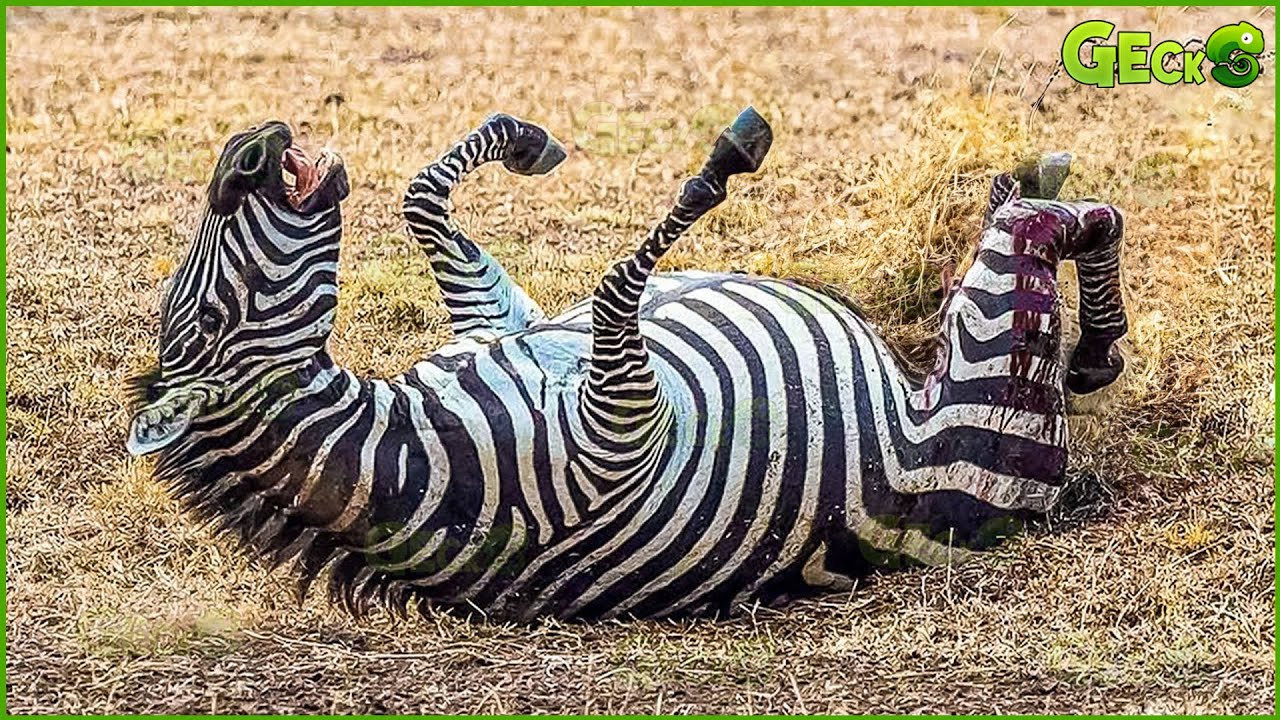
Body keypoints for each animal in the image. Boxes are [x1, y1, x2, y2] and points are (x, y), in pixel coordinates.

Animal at [126, 108, 1127, 621]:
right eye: (209, 313)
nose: (246, 149)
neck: (411, 453)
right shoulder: (623, 424)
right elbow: (615, 285)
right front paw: (722, 164)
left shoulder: (502, 319)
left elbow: (421, 197)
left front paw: (523, 141)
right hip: (987, 381)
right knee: (1056, 226)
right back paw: (1092, 335)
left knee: (1056, 213)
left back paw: (1034, 200)